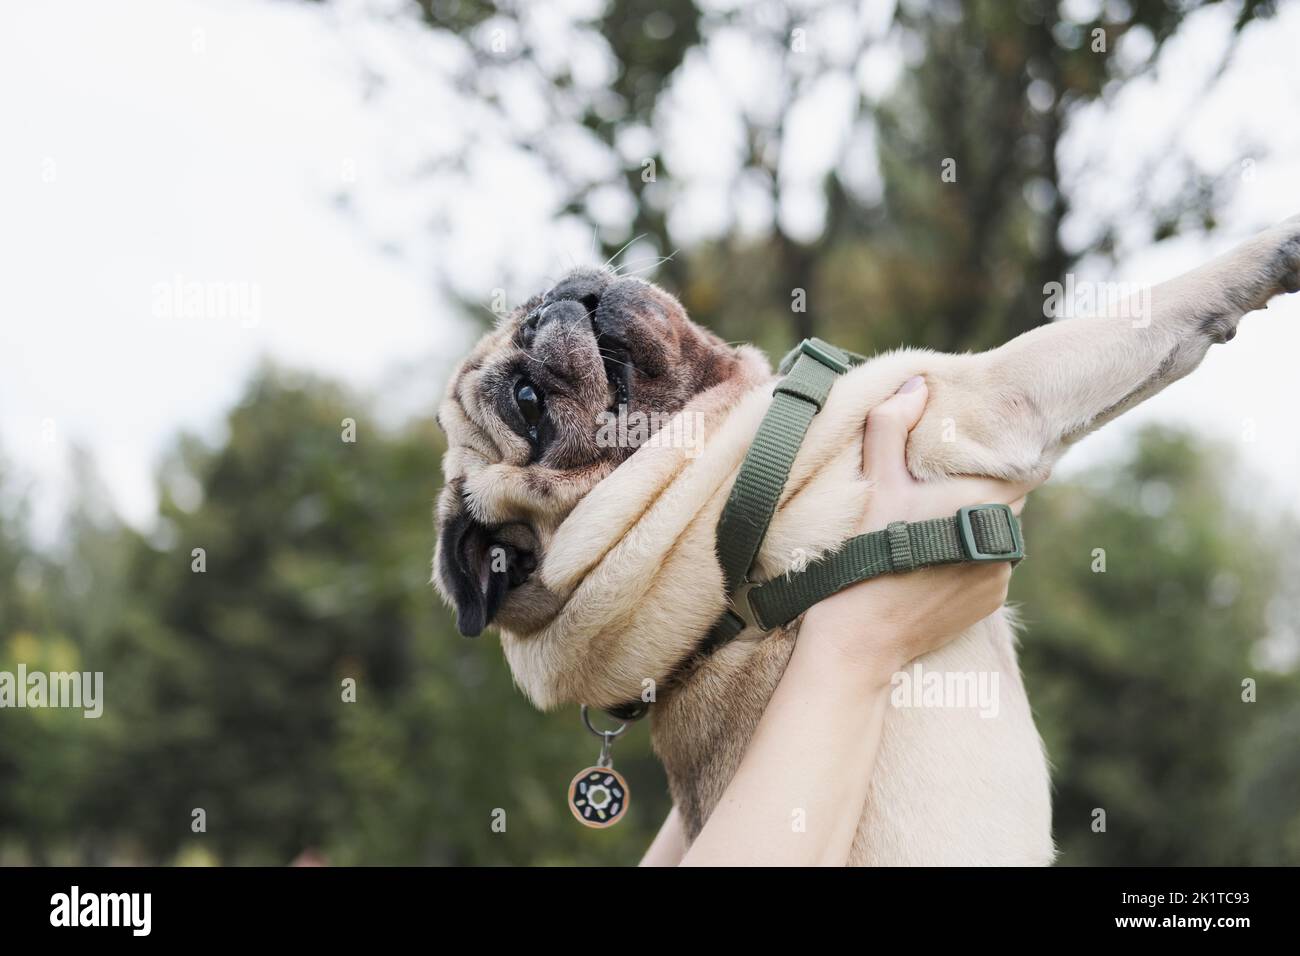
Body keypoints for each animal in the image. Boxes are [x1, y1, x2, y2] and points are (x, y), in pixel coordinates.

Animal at [434, 217, 1300, 868]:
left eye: (528, 320)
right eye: (528, 402)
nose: (548, 307)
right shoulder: (983, 394)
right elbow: (1148, 312)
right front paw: (1273, 251)